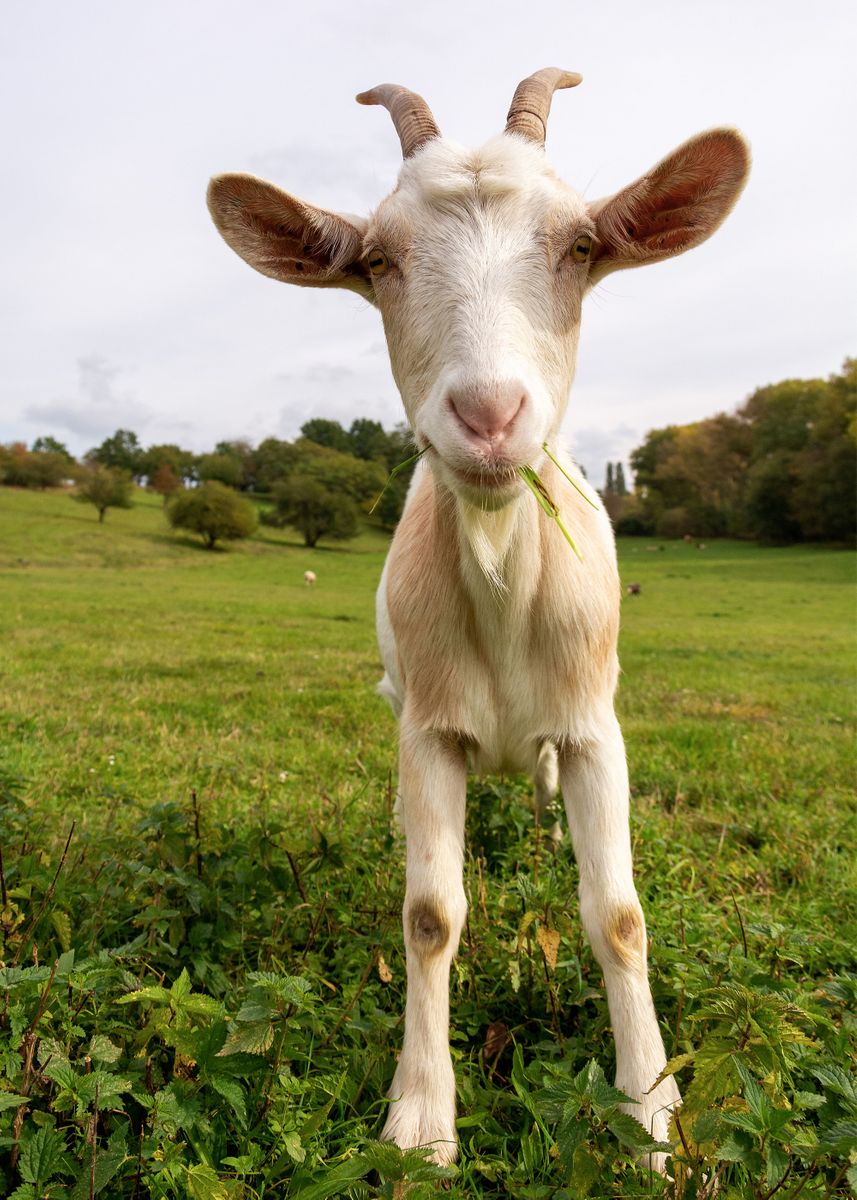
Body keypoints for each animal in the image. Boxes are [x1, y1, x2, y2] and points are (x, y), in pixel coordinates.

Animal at [207, 68, 749, 1171]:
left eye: (580, 245)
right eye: (378, 259)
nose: (490, 417)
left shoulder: (592, 728)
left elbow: (618, 915)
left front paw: (650, 1115)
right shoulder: (428, 729)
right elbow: (428, 913)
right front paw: (420, 1120)